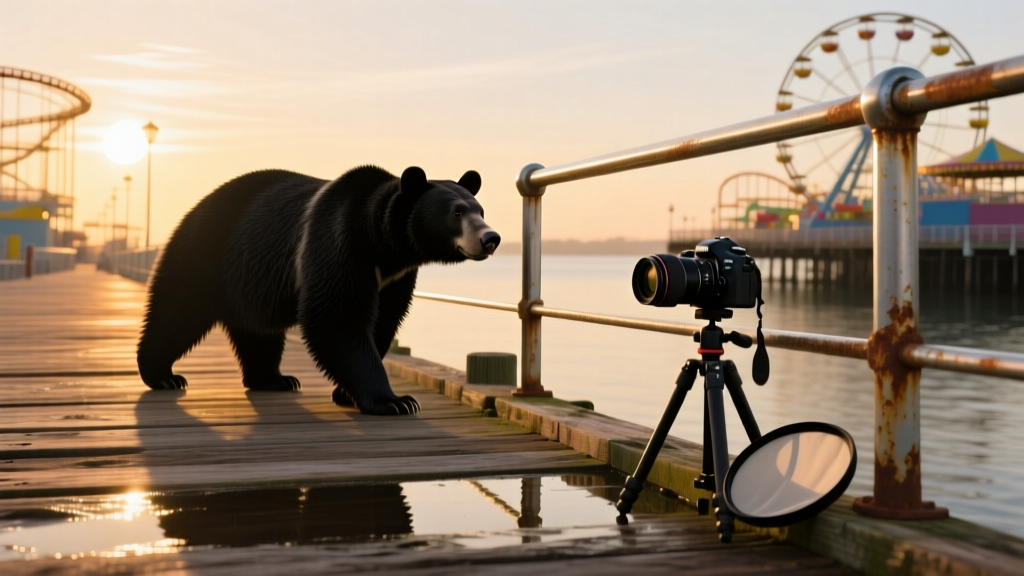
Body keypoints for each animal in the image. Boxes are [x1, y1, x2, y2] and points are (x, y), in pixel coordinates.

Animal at [137, 165, 499, 415]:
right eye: (456, 212)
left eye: (480, 210)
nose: (490, 238)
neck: (383, 246)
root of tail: (197, 205)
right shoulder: (339, 242)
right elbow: (337, 318)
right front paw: (395, 401)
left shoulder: (394, 278)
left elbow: (383, 321)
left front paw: (347, 394)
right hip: (206, 253)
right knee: (178, 310)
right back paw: (163, 375)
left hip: (250, 277)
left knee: (257, 330)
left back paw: (272, 379)